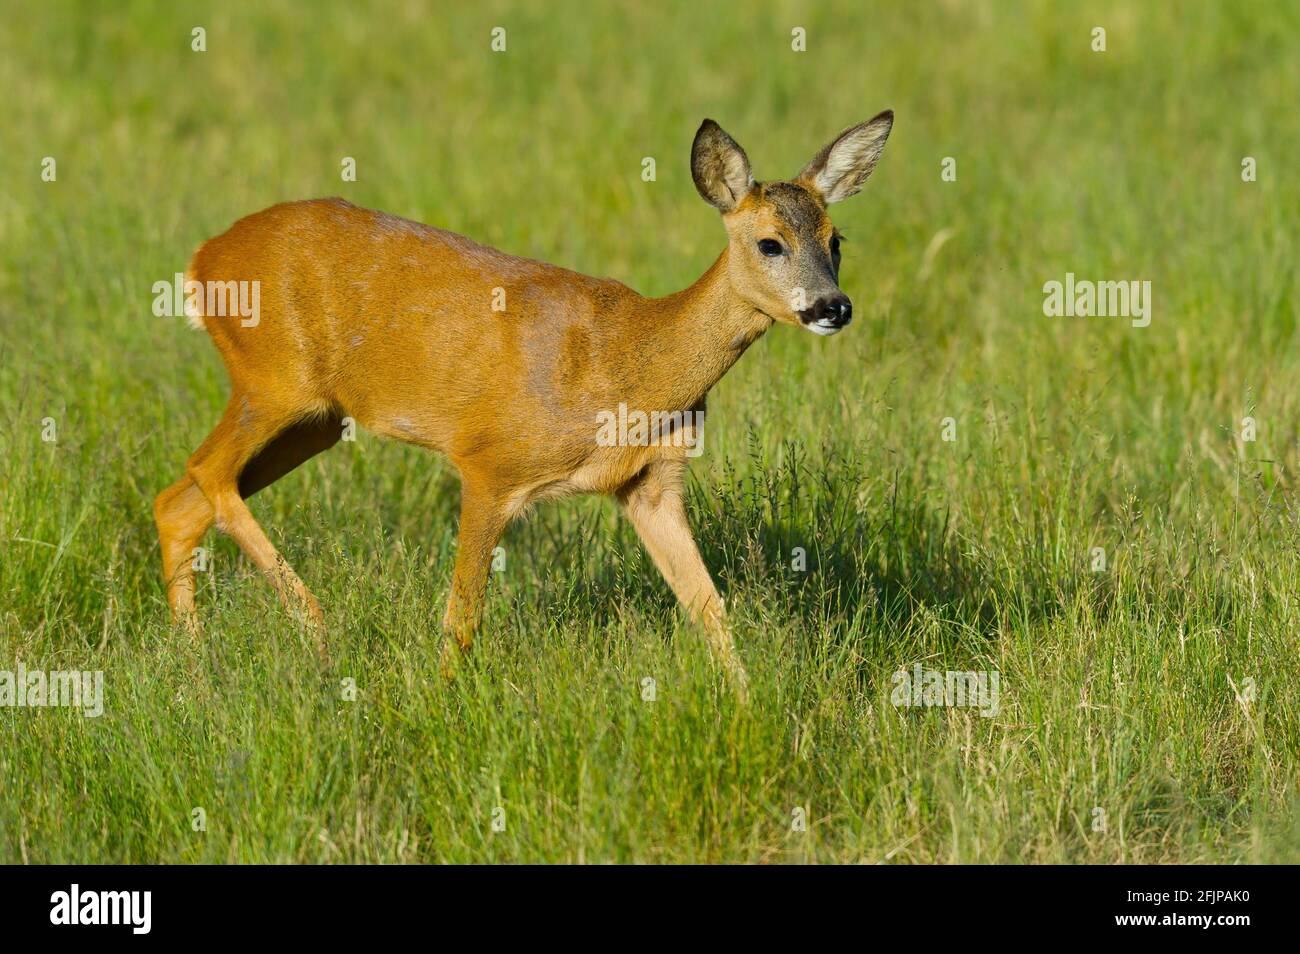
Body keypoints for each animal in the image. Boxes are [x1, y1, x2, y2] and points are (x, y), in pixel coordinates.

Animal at [154, 111, 894, 700]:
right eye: (770, 241)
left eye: (836, 240)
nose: (833, 307)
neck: (629, 361)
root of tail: (200, 262)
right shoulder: (489, 462)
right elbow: (462, 618)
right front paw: (441, 706)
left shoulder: (650, 483)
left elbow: (709, 608)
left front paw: (750, 706)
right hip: (272, 381)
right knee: (205, 473)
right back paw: (314, 624)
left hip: (320, 418)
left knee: (179, 499)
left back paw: (195, 665)